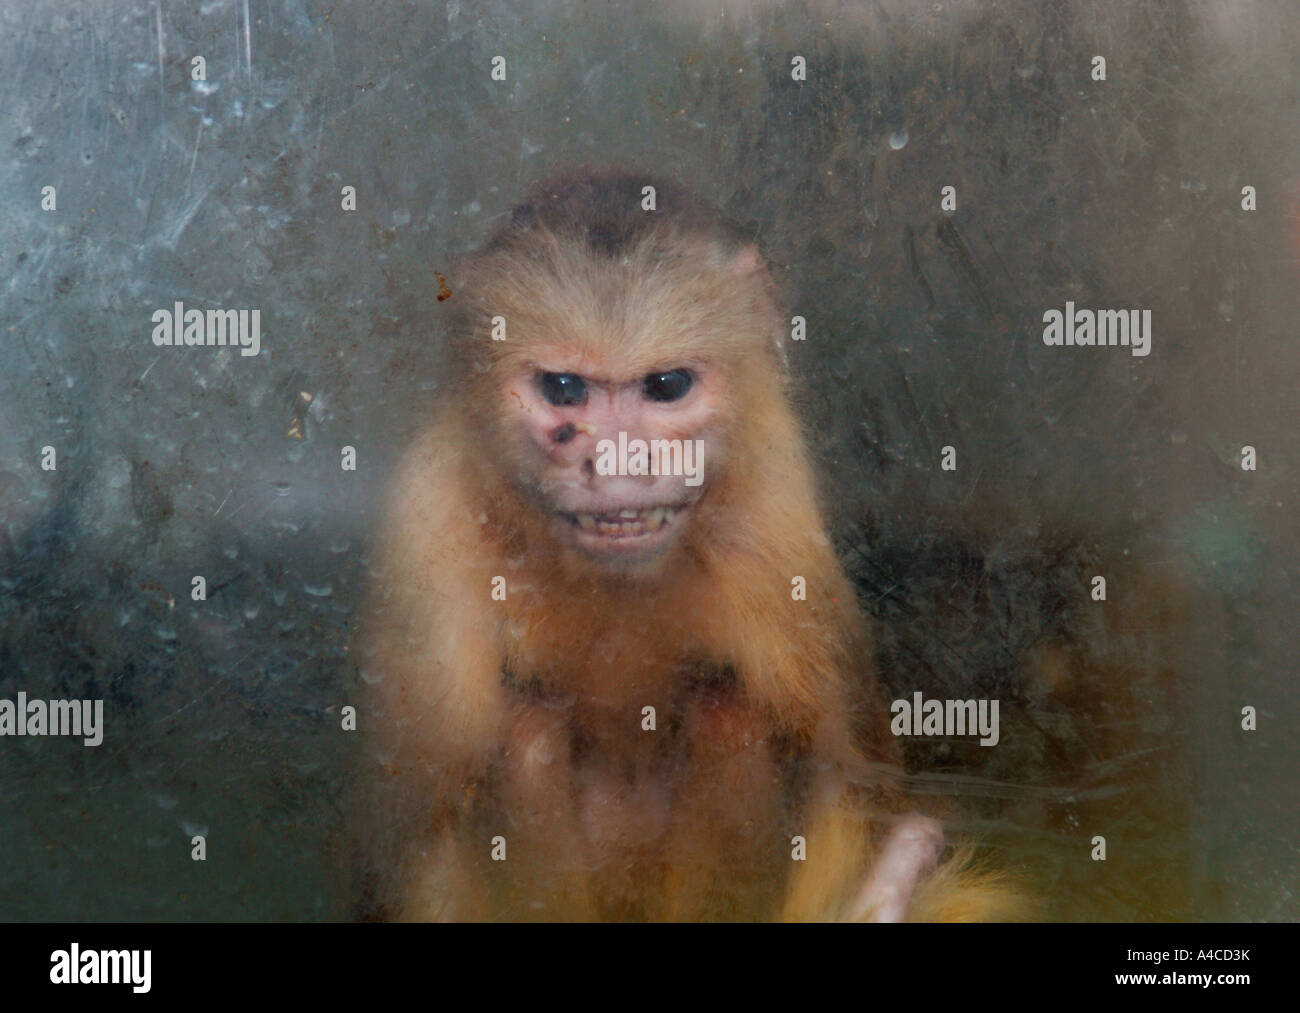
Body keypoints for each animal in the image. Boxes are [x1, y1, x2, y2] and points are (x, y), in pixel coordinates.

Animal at [356, 168, 1022, 922]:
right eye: (564, 389)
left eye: (666, 385)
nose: (616, 462)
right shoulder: (427, 531)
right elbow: (421, 840)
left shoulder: (772, 523)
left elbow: (845, 775)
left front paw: (881, 896)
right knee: (527, 732)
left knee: (726, 712)